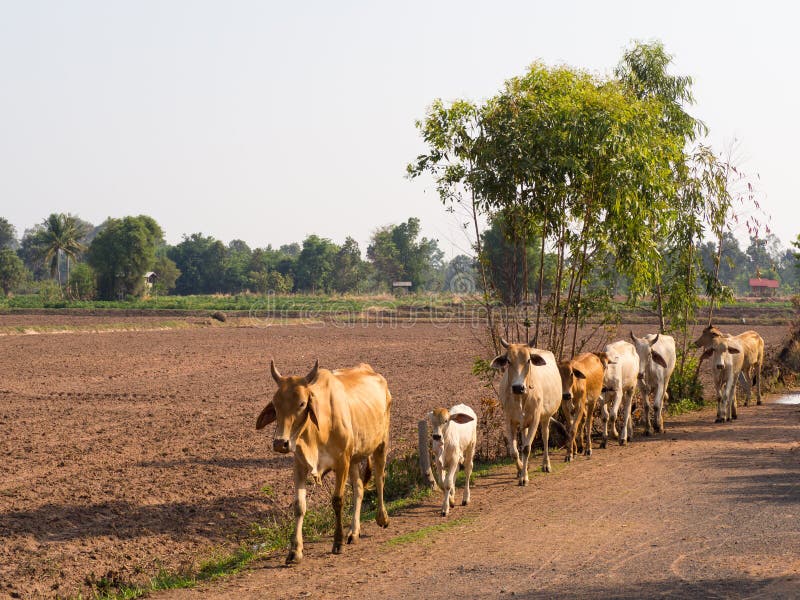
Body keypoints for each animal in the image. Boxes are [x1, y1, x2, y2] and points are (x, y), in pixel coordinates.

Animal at [256, 360, 391, 564]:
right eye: (275, 404)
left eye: (302, 404)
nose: (281, 443)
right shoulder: (300, 465)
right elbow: (299, 506)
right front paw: (295, 551)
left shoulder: (342, 462)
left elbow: (337, 500)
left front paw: (337, 543)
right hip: (354, 459)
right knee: (359, 488)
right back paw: (353, 532)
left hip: (380, 444)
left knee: (380, 478)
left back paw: (382, 517)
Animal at [491, 338, 562, 485]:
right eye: (508, 361)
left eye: (528, 360)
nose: (518, 387)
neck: (520, 398)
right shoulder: (509, 421)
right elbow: (514, 451)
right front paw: (520, 470)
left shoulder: (535, 419)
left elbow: (527, 448)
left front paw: (524, 477)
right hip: (524, 423)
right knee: (524, 437)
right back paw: (526, 465)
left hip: (545, 417)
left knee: (545, 436)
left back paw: (546, 464)